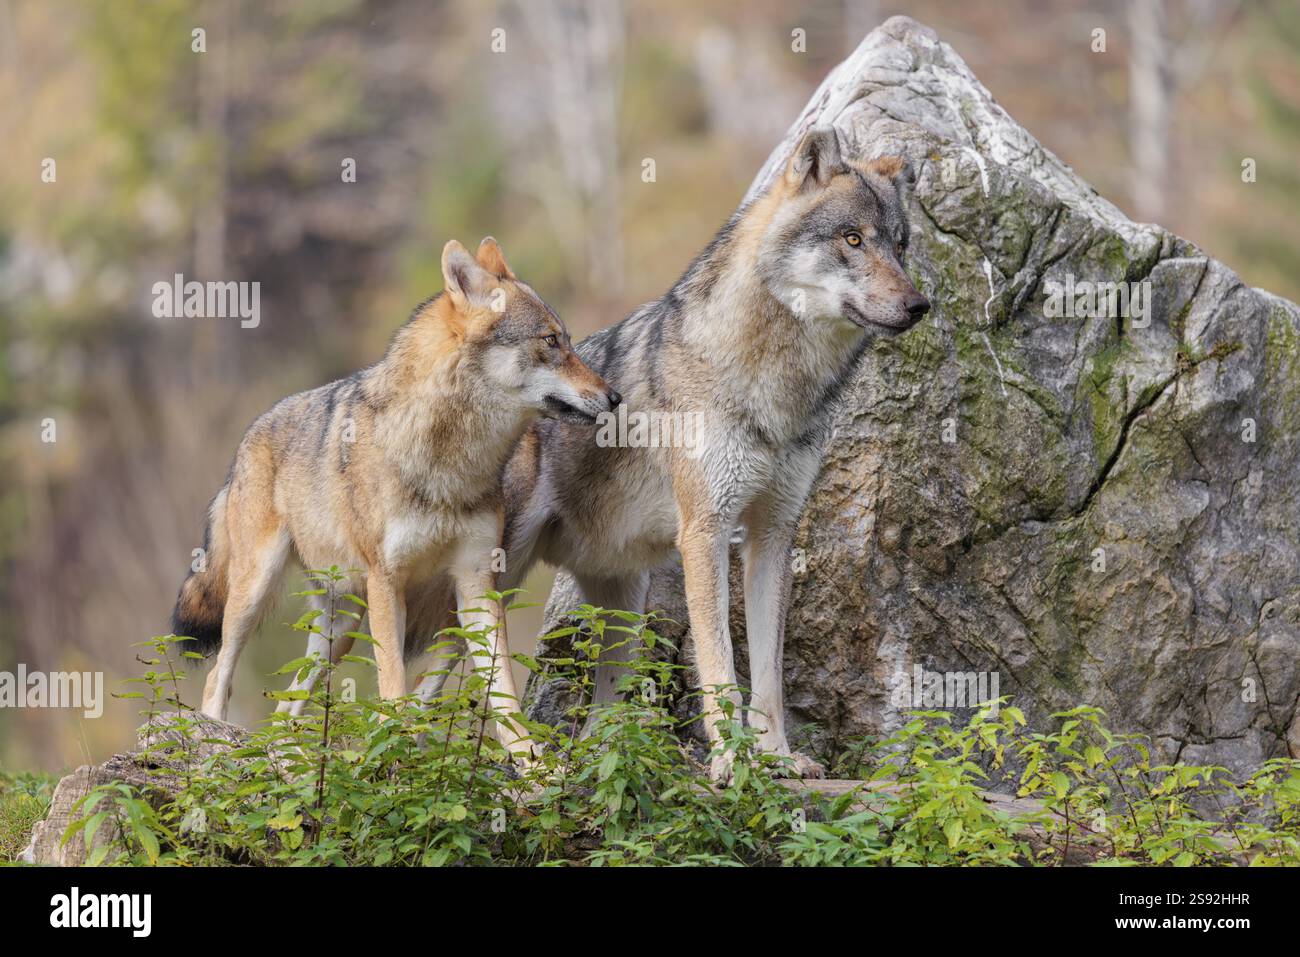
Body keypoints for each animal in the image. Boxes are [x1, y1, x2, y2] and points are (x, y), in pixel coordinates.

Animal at [170, 238, 618, 757]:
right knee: (217, 674)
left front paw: (535, 763)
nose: (615, 397)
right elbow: (393, 686)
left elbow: (503, 691)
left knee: (285, 710)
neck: (449, 462)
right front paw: (395, 750)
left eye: (566, 340)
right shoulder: (387, 581)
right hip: (255, 593)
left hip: (339, 629)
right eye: (550, 341)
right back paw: (215, 740)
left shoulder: (476, 581)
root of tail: (247, 439)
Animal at [500, 129, 929, 780]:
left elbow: (769, 674)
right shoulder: (705, 531)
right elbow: (720, 664)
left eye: (900, 246)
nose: (919, 305)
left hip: (623, 603)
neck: (777, 387)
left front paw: (779, 758)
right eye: (853, 239)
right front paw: (730, 761)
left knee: (600, 713)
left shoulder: (773, 534)